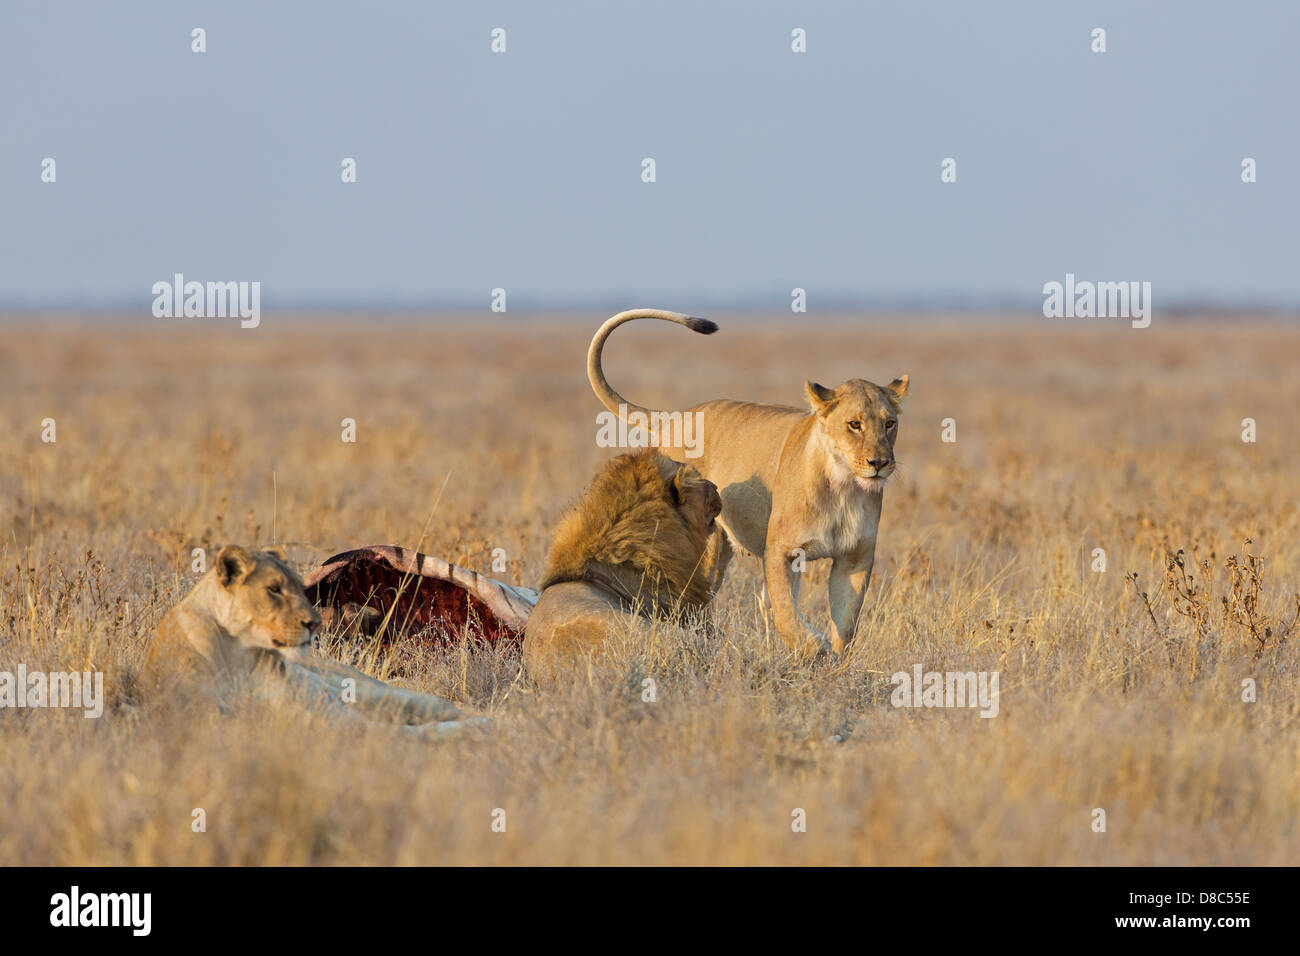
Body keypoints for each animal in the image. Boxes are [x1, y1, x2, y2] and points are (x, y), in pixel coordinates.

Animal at [587, 308, 909, 656]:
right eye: (854, 424)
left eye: (889, 424)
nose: (880, 463)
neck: (843, 487)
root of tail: (680, 415)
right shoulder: (781, 550)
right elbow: (786, 613)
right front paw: (813, 650)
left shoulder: (855, 556)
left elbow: (846, 622)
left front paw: (837, 661)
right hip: (706, 548)